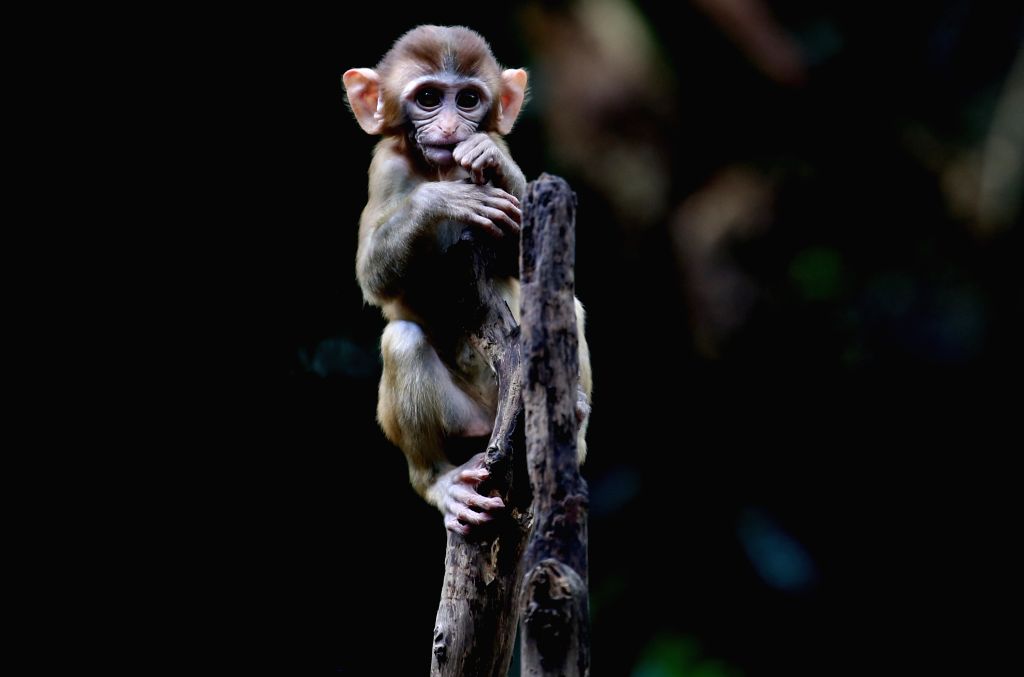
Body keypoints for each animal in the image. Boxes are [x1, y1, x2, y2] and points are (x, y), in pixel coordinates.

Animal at [343, 25, 592, 536]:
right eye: (429, 98)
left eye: (469, 99)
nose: (450, 127)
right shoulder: (385, 166)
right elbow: (372, 276)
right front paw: (442, 199)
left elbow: (523, 259)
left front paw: (487, 157)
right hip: (465, 421)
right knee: (401, 339)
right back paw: (442, 482)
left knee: (569, 305)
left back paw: (572, 418)